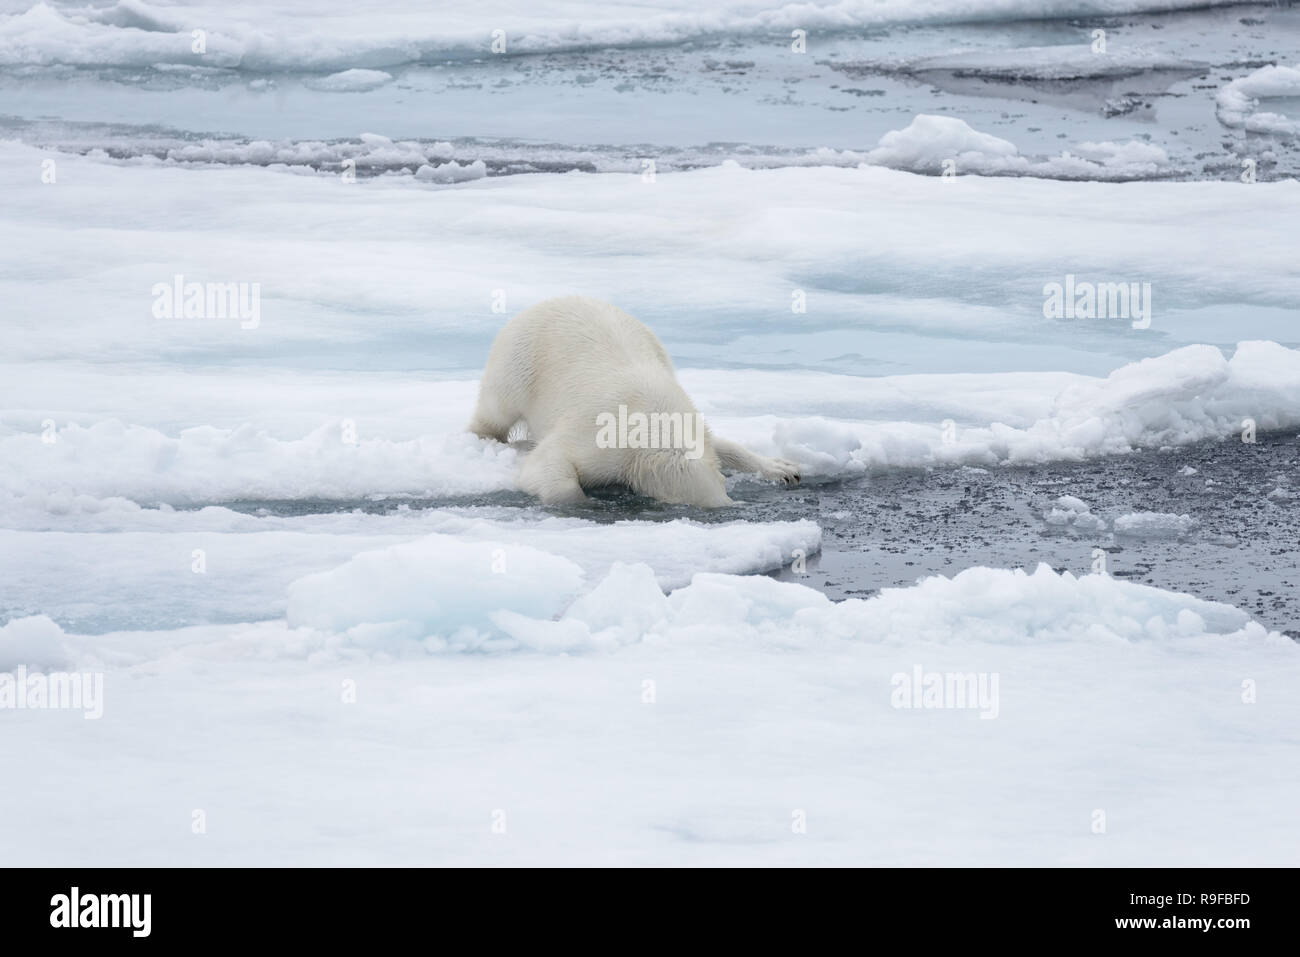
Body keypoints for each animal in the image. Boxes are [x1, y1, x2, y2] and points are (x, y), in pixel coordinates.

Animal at [468, 296, 801, 506]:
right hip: (519, 357)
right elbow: (551, 467)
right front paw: (583, 501)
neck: (655, 423)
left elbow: (722, 444)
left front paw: (784, 468)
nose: (728, 503)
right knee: (496, 408)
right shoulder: (600, 440)